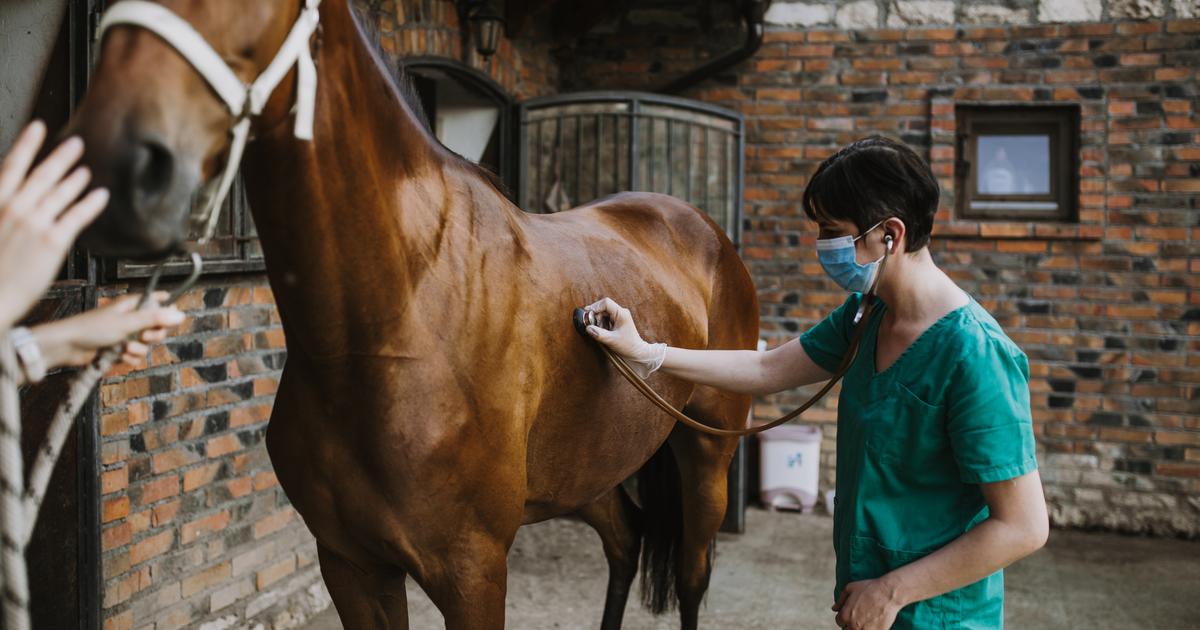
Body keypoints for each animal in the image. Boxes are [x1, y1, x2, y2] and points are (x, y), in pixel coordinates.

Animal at [67, 1, 758, 628]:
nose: (111, 160)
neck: (396, 327)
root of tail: (700, 227)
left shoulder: (473, 571)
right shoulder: (350, 564)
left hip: (706, 452)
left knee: (692, 576)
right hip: (587, 473)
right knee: (625, 541)